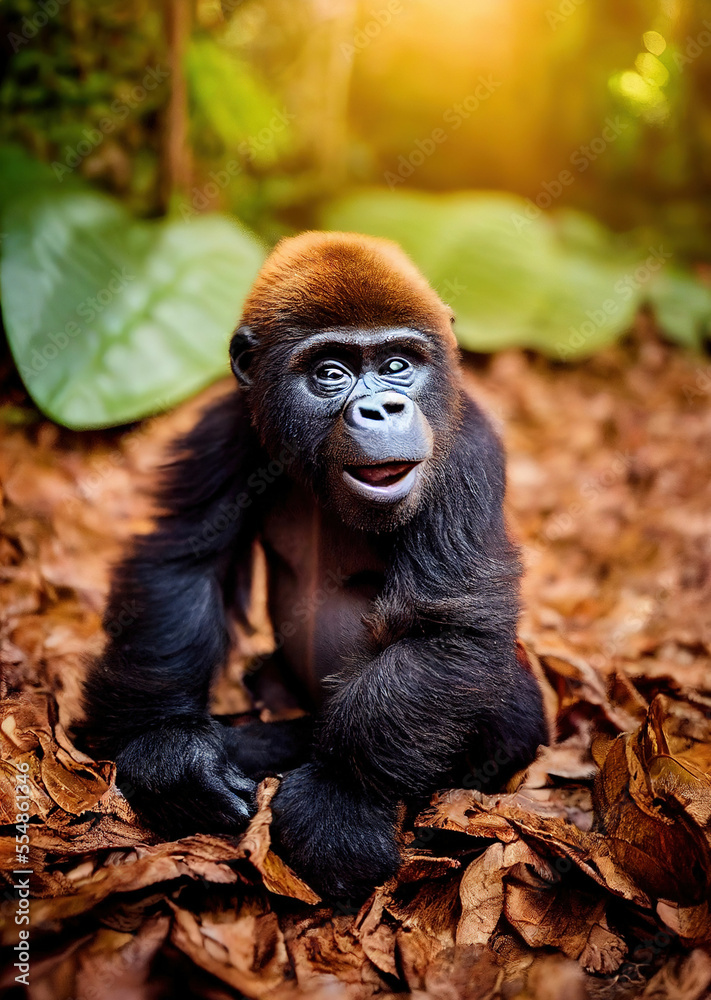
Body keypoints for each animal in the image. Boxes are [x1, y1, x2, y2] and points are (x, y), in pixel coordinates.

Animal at [82, 231, 547, 899]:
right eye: (331, 373)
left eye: (398, 365)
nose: (384, 409)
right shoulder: (229, 424)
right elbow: (184, 559)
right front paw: (169, 749)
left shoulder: (464, 449)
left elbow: (444, 624)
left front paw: (340, 798)